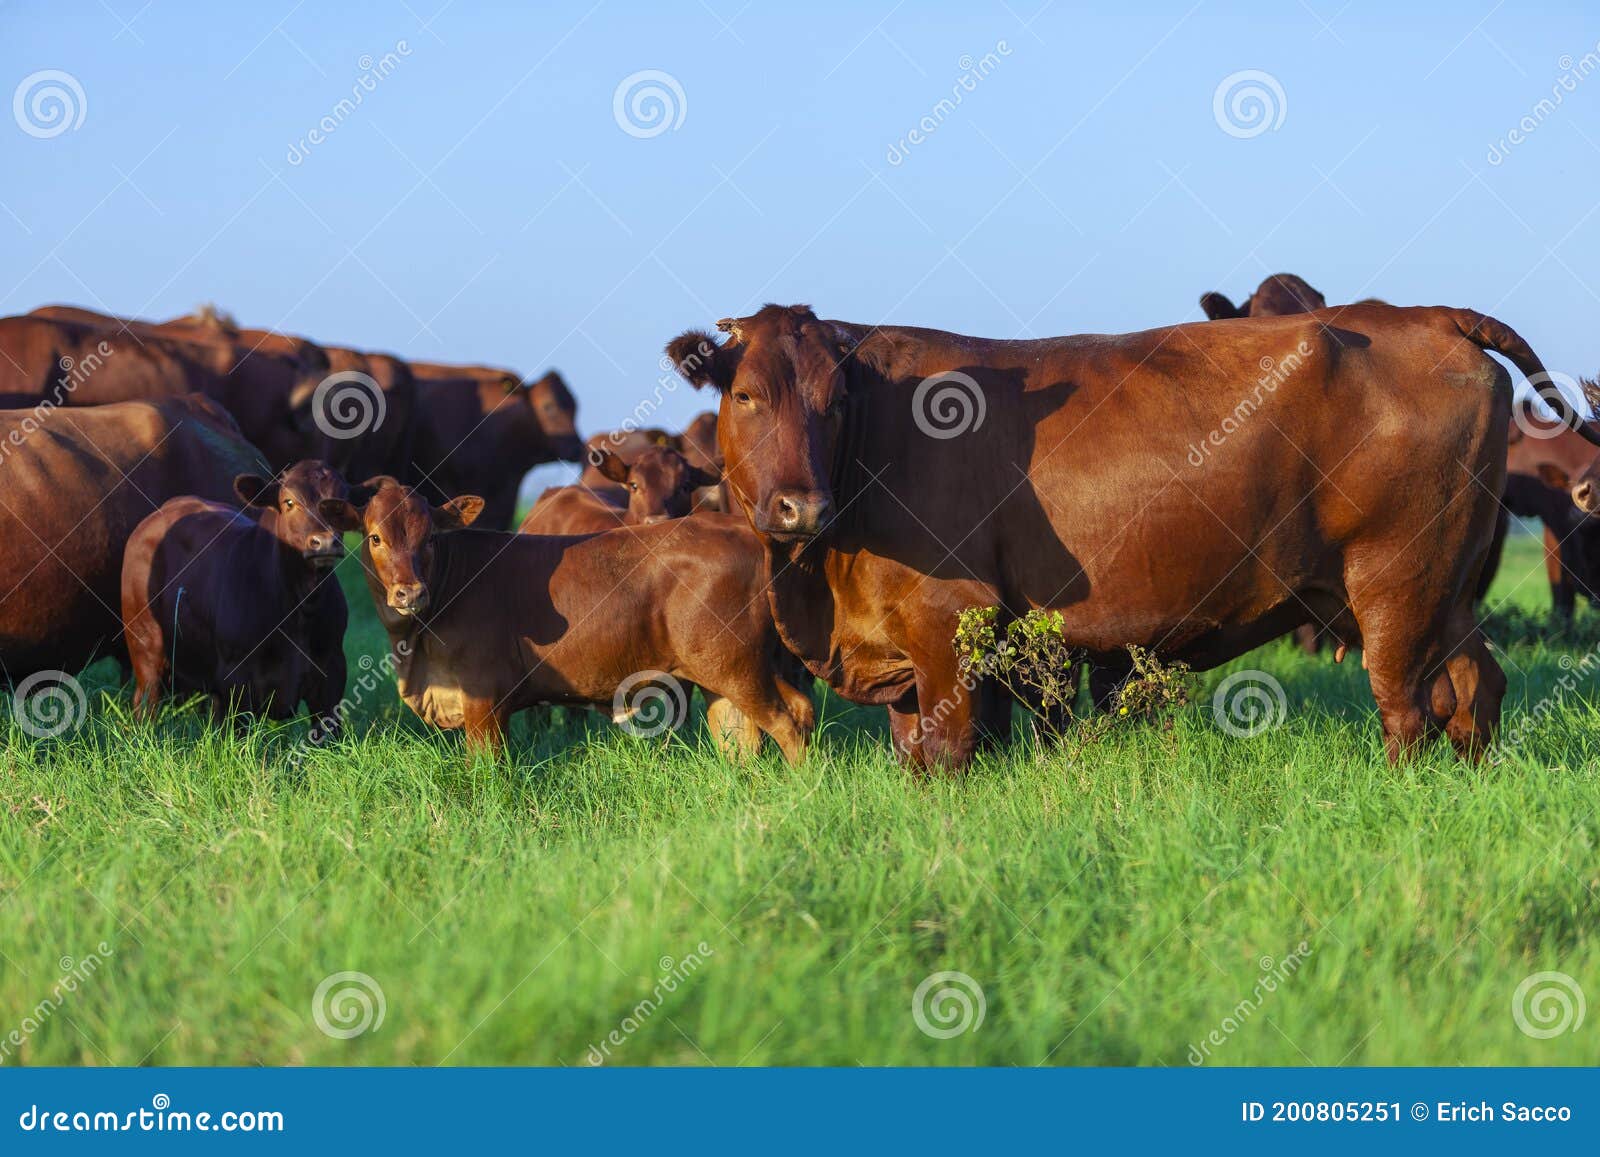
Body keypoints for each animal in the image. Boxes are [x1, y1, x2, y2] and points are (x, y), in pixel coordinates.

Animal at [120, 460, 352, 734]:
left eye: (342, 503)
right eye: (289, 502)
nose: (325, 542)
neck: (300, 610)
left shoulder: (332, 671)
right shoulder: (237, 676)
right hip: (145, 645)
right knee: (146, 702)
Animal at [318, 479, 813, 760]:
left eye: (431, 538)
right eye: (375, 537)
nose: (410, 592)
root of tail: (741, 529)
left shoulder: (484, 702)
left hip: (736, 668)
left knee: (784, 723)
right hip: (733, 671)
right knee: (757, 731)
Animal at [665, 302, 1596, 769]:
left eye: (833, 401)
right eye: (746, 395)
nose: (799, 506)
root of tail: (1422, 312)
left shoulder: (948, 628)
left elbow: (952, 752)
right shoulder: (902, 649)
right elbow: (917, 754)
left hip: (1394, 584)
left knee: (1408, 707)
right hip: (1447, 586)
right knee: (1474, 688)